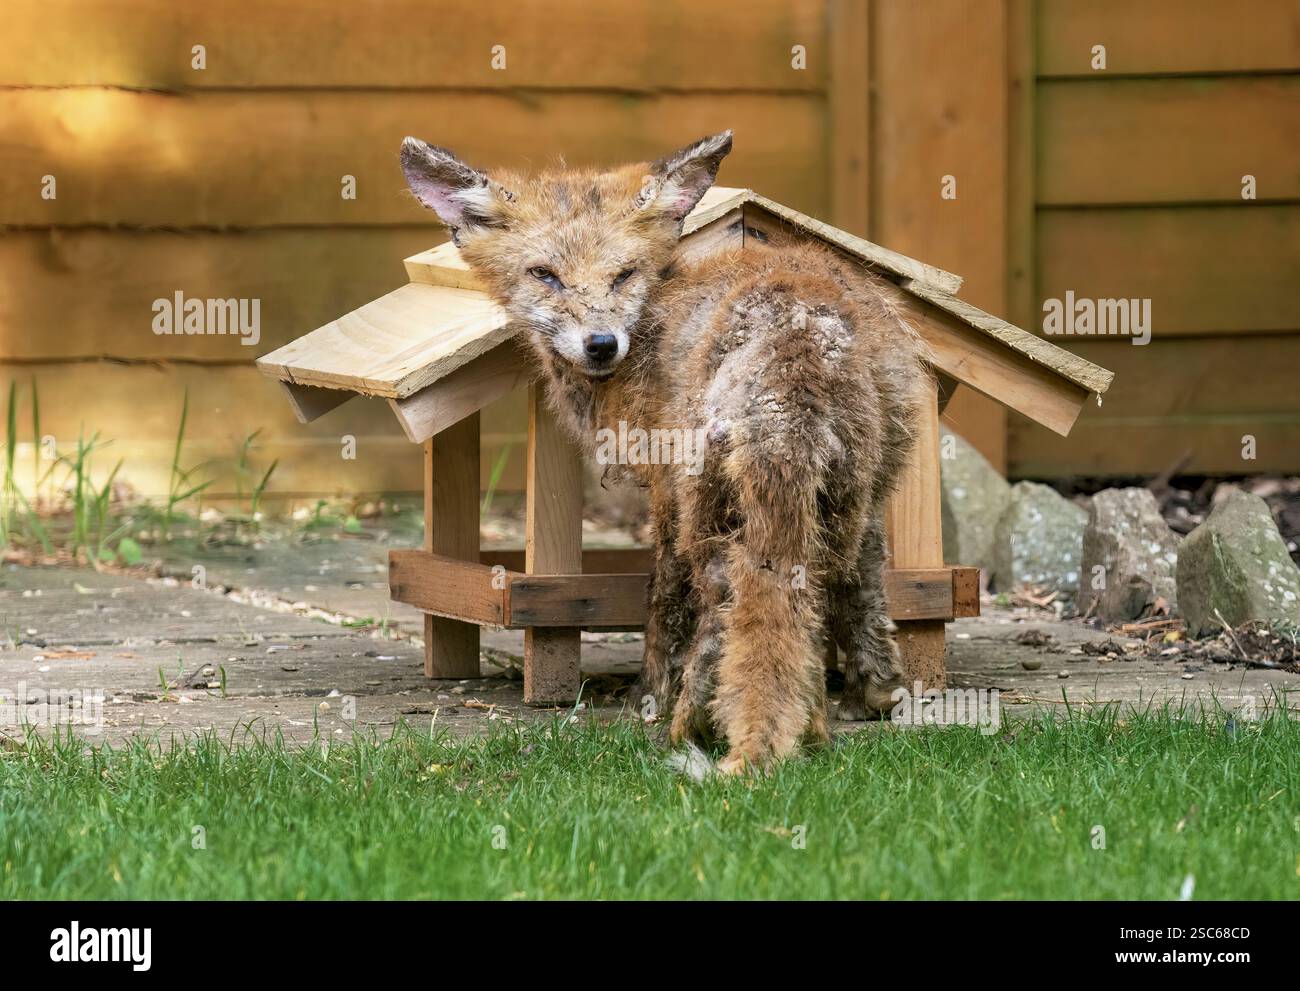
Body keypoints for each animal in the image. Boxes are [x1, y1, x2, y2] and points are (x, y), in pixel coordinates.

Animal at [400, 130, 928, 773]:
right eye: (545, 275)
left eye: (624, 274)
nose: (601, 344)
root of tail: (795, 344)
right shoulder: (869, 499)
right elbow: (859, 590)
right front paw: (870, 693)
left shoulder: (664, 486)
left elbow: (664, 597)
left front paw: (646, 693)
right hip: (847, 496)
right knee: (836, 581)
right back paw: (835, 716)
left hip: (712, 505)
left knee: (722, 603)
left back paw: (688, 726)